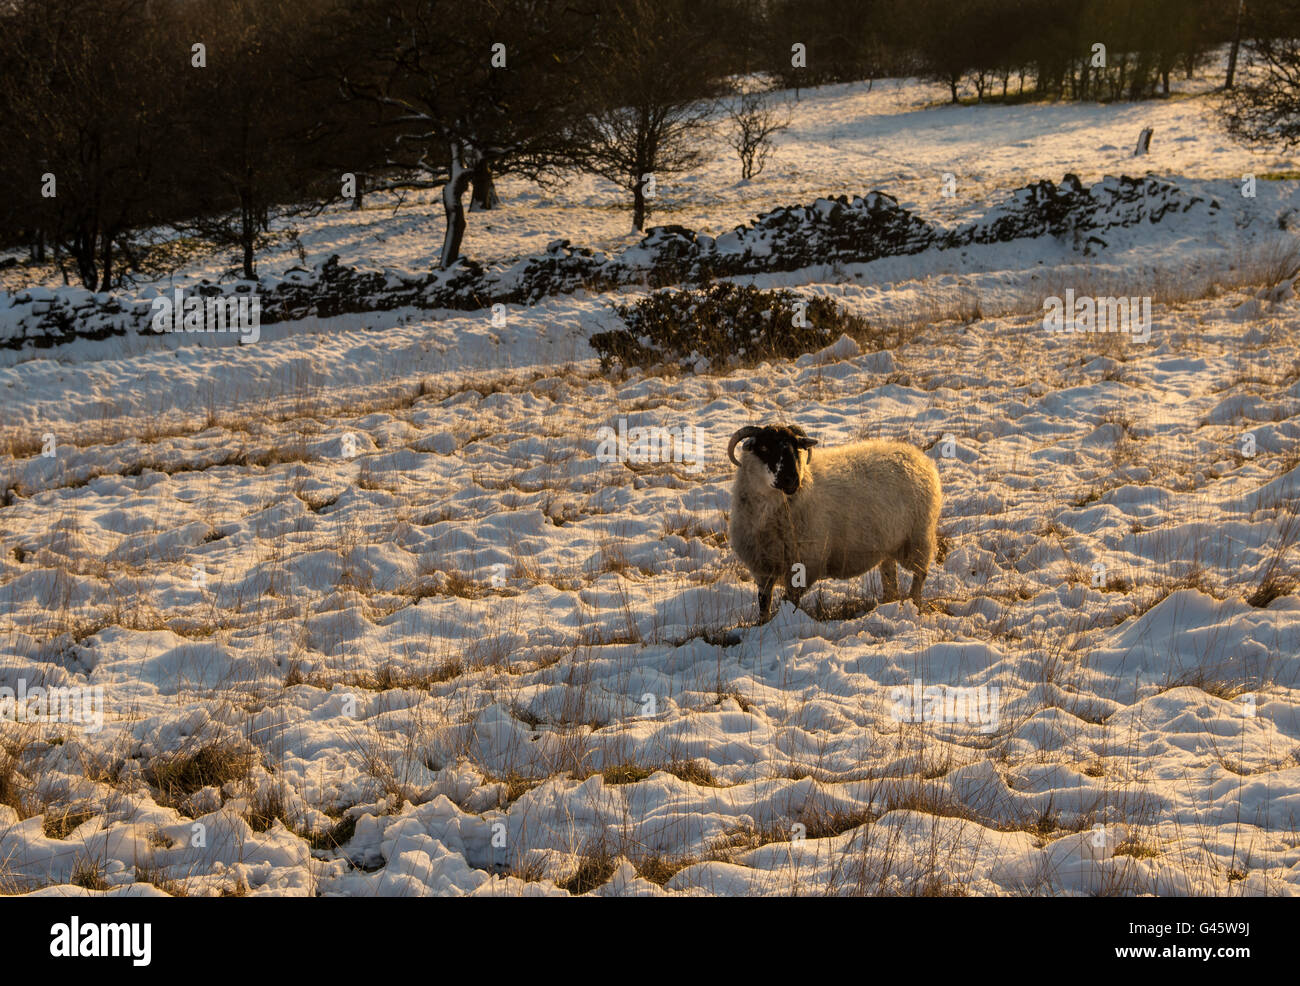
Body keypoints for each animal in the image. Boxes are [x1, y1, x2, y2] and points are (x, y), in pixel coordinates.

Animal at [727, 424, 942, 622]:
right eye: (764, 448)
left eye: (796, 447)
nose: (792, 479)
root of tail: (918, 457)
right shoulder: (762, 568)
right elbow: (764, 603)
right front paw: (762, 626)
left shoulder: (805, 565)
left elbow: (790, 600)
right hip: (889, 545)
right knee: (890, 578)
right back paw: (889, 603)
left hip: (918, 538)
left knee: (920, 574)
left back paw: (915, 605)